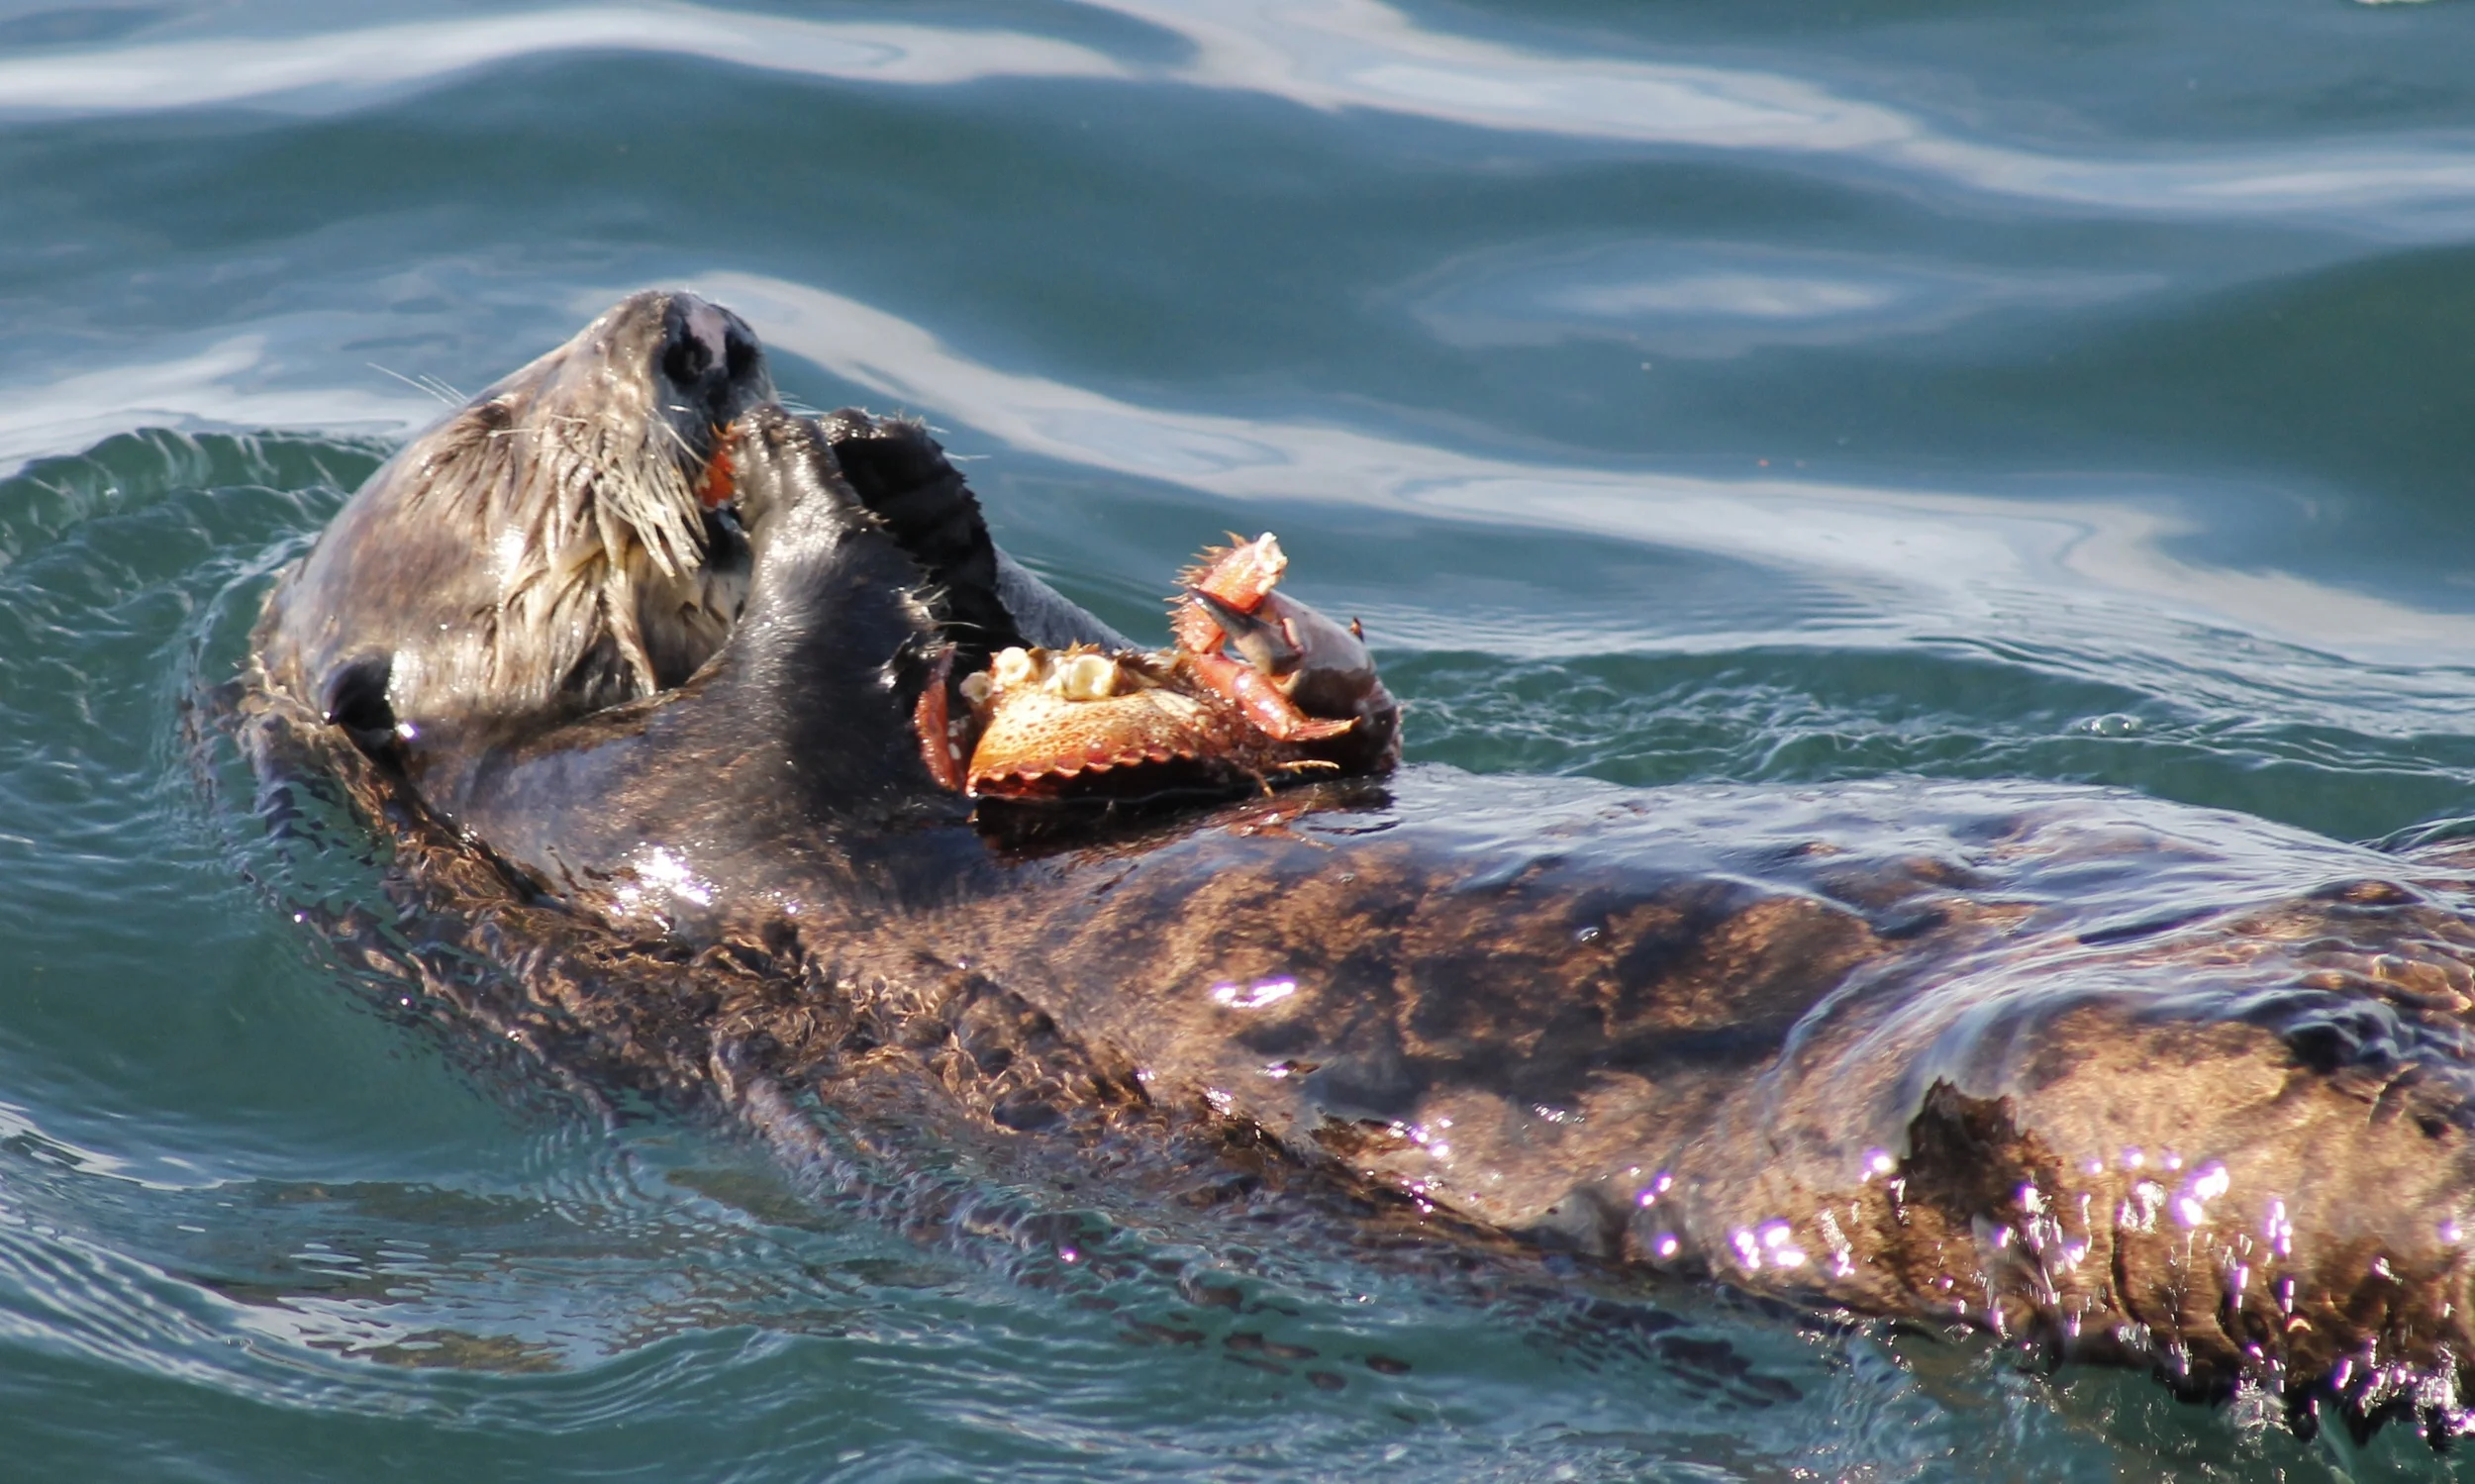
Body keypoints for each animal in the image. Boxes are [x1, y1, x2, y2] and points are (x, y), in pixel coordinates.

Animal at [238, 292, 2475, 1444]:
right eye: (493, 424)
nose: (694, 330)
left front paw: (933, 484)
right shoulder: (642, 844)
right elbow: (783, 742)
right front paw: (824, 494)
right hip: (2101, 1126)